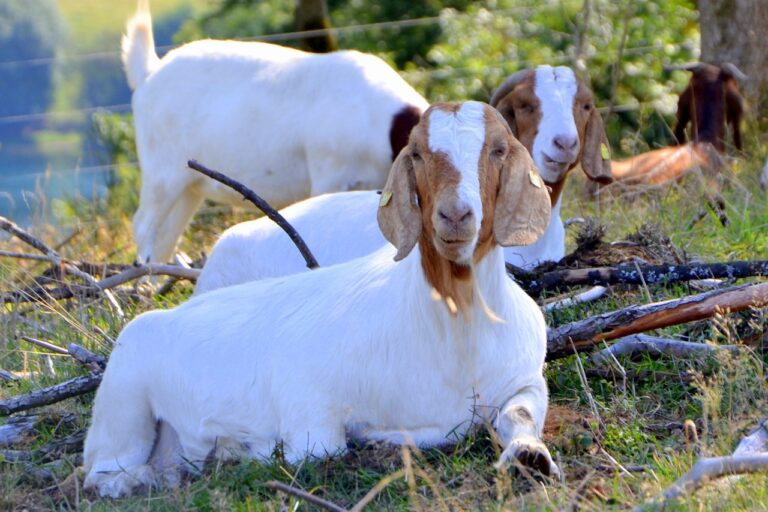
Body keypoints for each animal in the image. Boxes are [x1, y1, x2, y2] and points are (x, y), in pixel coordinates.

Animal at [83, 102, 558, 498]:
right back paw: (160, 473)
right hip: (123, 400)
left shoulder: (526, 378)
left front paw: (529, 456)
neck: (456, 328)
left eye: (498, 149)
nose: (455, 216)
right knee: (103, 471)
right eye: (418, 154)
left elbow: (518, 414)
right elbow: (324, 447)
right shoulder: (304, 391)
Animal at [123, 0, 427, 264]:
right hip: (162, 171)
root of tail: (149, 72)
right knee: (143, 224)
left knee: (166, 237)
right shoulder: (328, 175)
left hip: (189, 186)